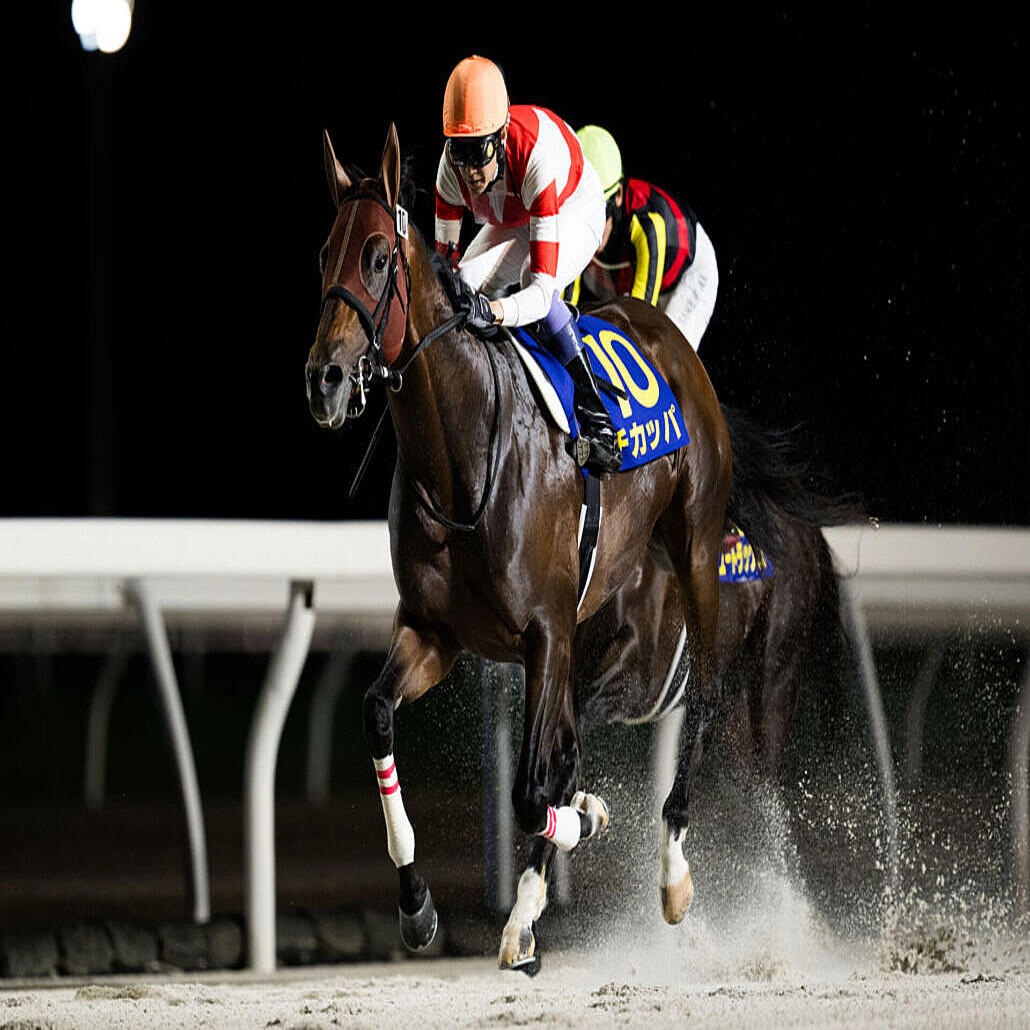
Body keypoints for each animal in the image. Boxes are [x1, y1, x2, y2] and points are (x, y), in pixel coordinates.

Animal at [308, 121, 760, 971]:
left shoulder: (546, 632)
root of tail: (664, 335)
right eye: (325, 253)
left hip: (690, 548)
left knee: (706, 697)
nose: (324, 379)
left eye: (379, 257)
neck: (461, 459)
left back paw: (669, 875)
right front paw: (417, 908)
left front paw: (586, 820)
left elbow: (531, 789)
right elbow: (379, 714)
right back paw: (524, 913)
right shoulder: (437, 631)